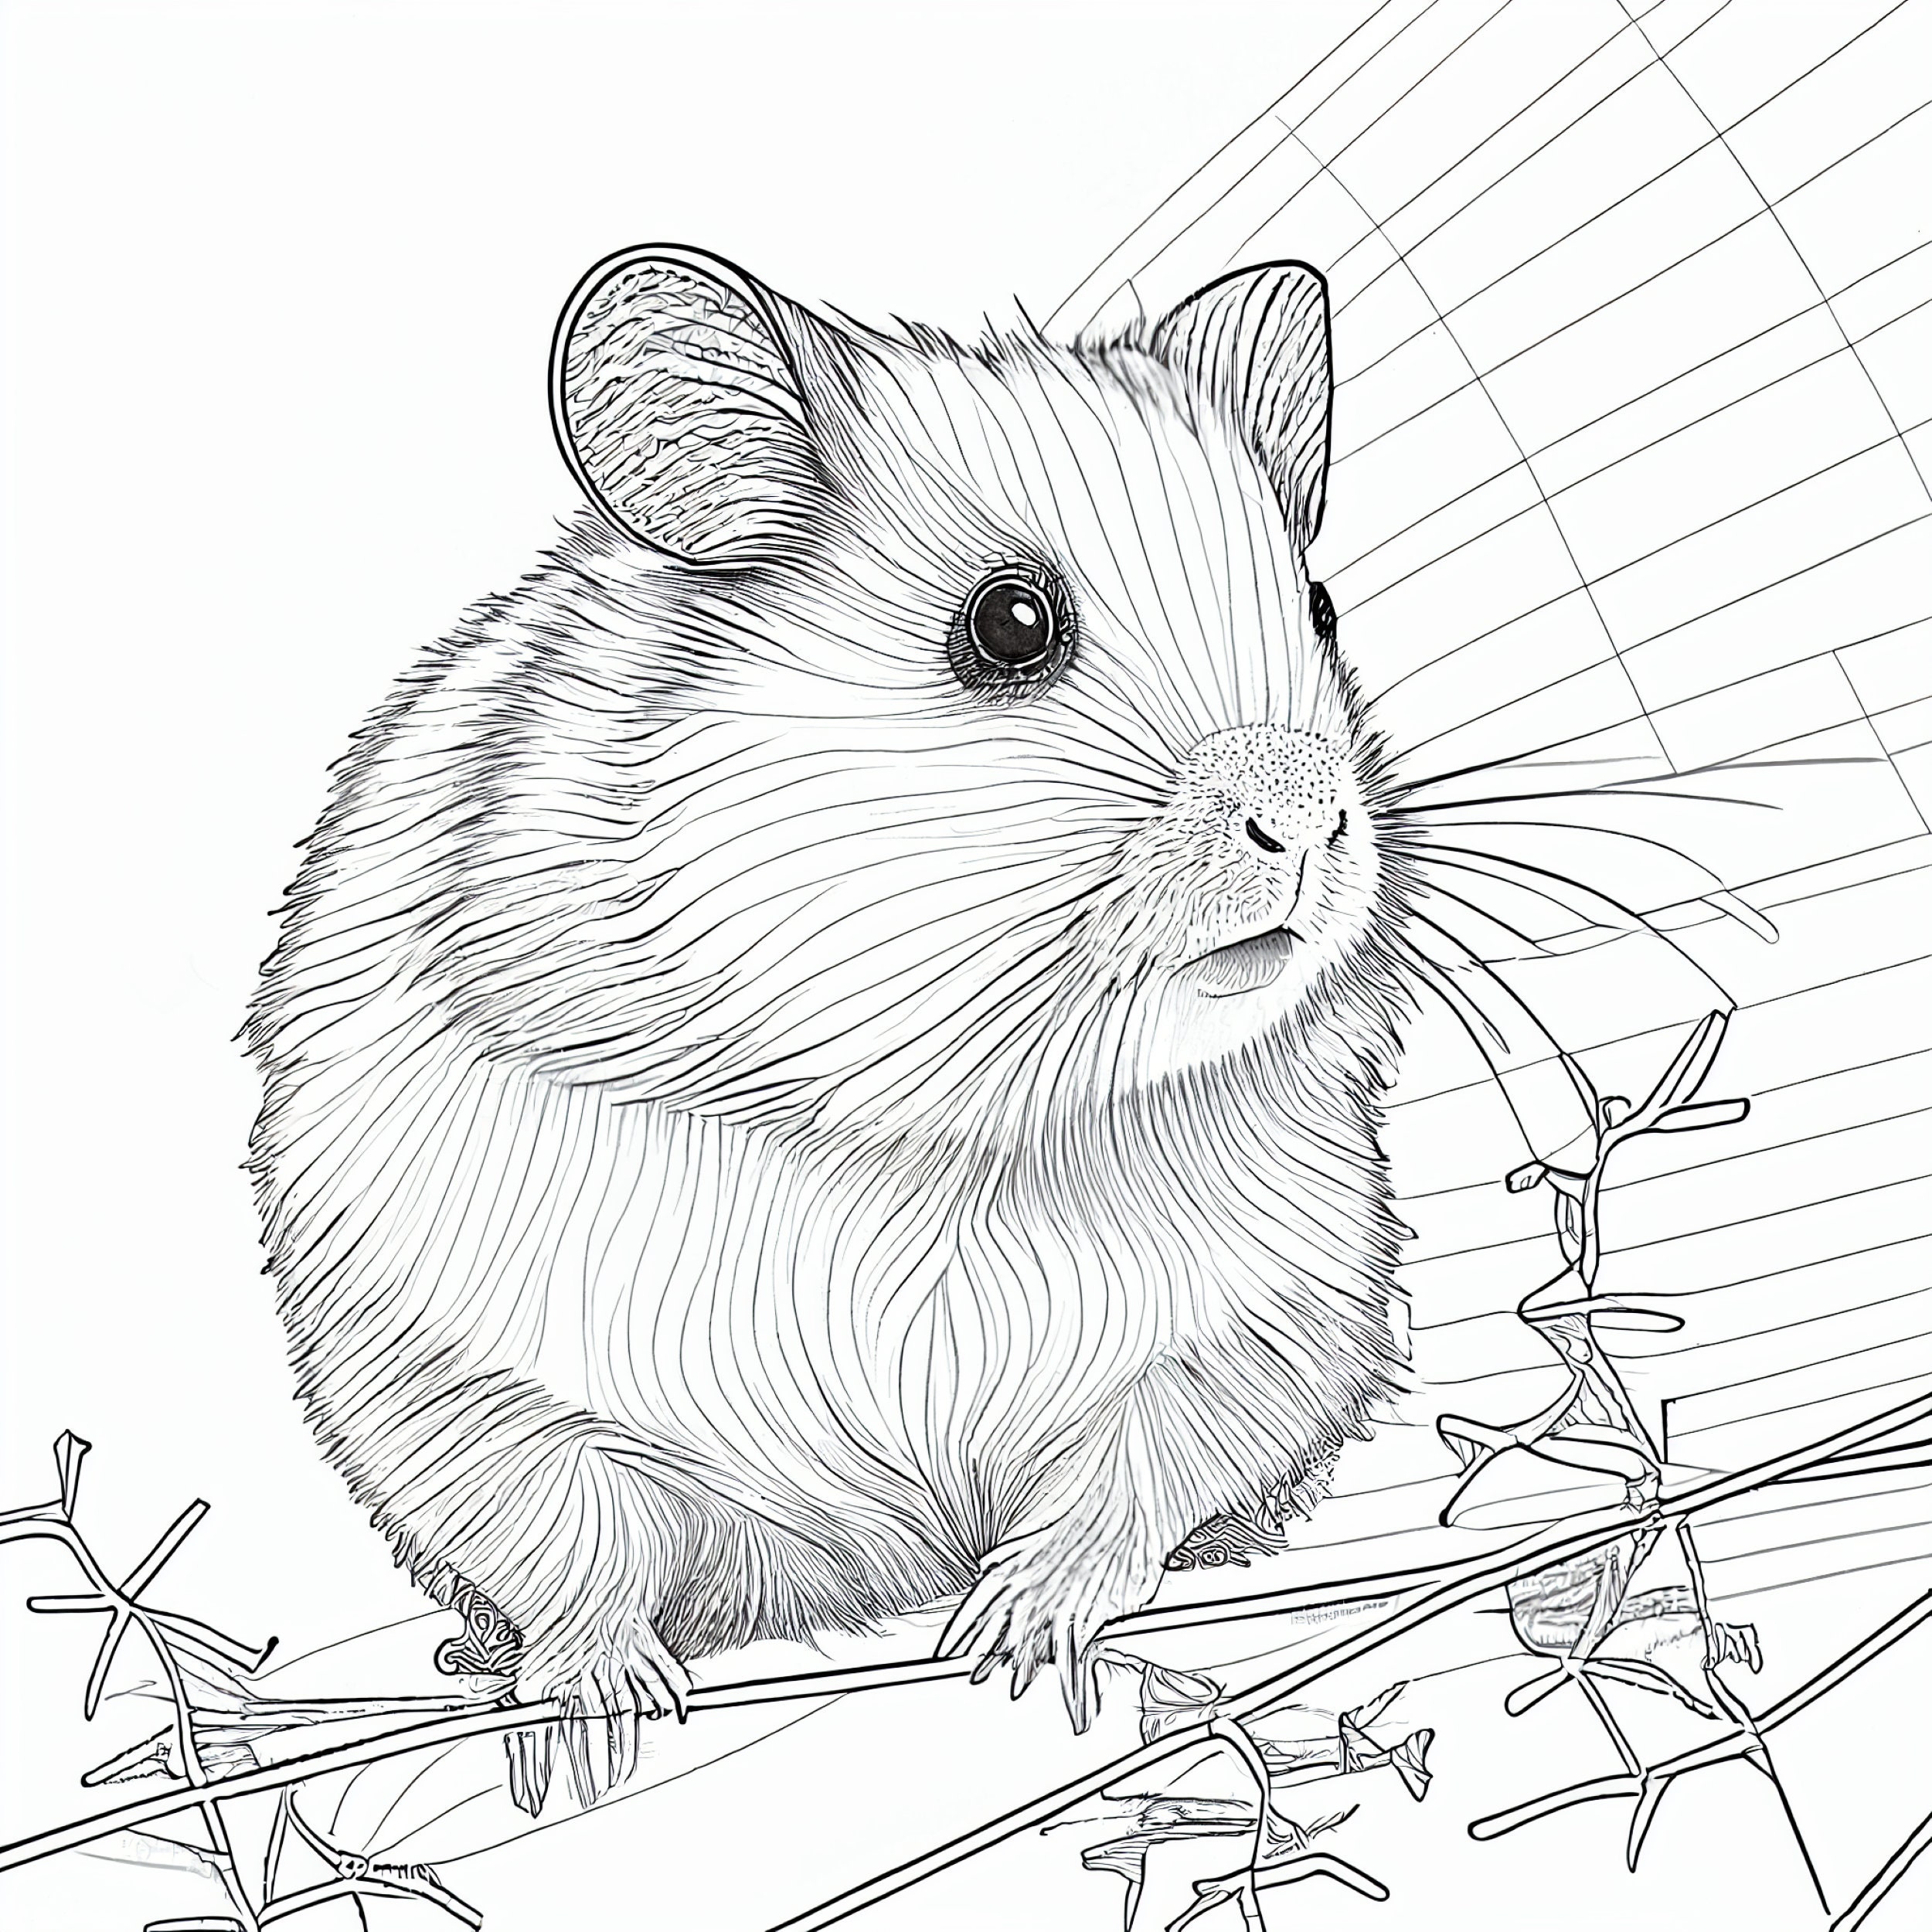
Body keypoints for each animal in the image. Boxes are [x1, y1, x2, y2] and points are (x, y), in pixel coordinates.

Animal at [245, 245, 1417, 1812]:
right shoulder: (453, 1365)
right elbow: (568, 1527)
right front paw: (593, 1724)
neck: (946, 1117)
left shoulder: (1277, 1314)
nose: (1309, 826)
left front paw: (1013, 1635)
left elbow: (1145, 1461)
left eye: (1324, 607)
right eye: (1011, 625)